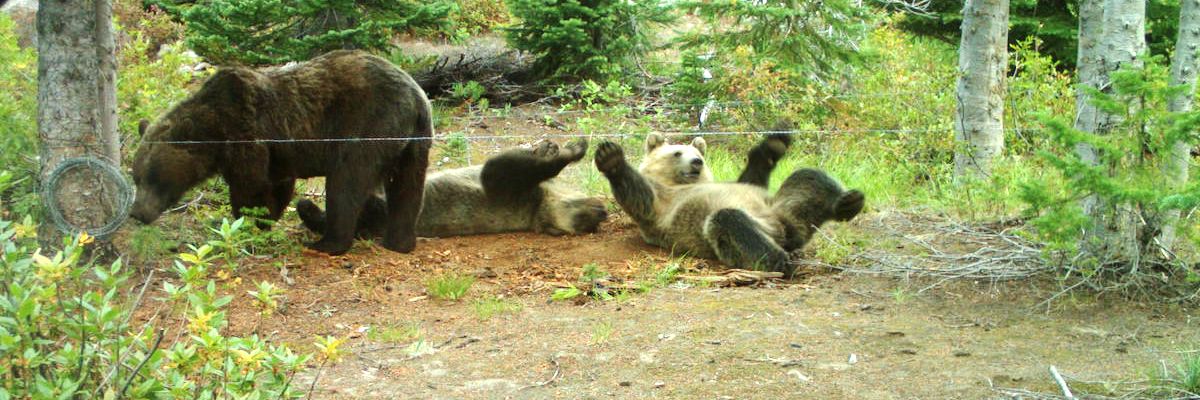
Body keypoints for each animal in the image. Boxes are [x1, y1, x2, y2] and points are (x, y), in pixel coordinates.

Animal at [129, 50, 433, 256]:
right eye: (136, 176)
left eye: (153, 177)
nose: (136, 212)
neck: (216, 135)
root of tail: (417, 96)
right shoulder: (279, 153)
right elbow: (277, 186)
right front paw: (263, 222)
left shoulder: (247, 135)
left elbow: (250, 189)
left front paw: (247, 224)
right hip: (415, 143)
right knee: (407, 188)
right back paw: (399, 241)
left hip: (368, 127)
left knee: (346, 183)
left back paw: (326, 241)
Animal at [294, 139, 608, 238]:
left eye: (580, 221)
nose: (602, 211)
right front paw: (551, 148)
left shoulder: (509, 194)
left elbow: (496, 169)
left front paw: (567, 151)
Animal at [594, 133, 864, 276]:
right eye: (676, 153)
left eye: (698, 154)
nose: (697, 162)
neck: (675, 183)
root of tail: (786, 230)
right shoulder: (662, 204)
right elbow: (640, 197)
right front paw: (611, 156)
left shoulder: (748, 187)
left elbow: (751, 177)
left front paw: (773, 144)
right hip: (743, 225)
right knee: (729, 222)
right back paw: (780, 260)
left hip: (780, 207)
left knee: (807, 177)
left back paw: (848, 202)